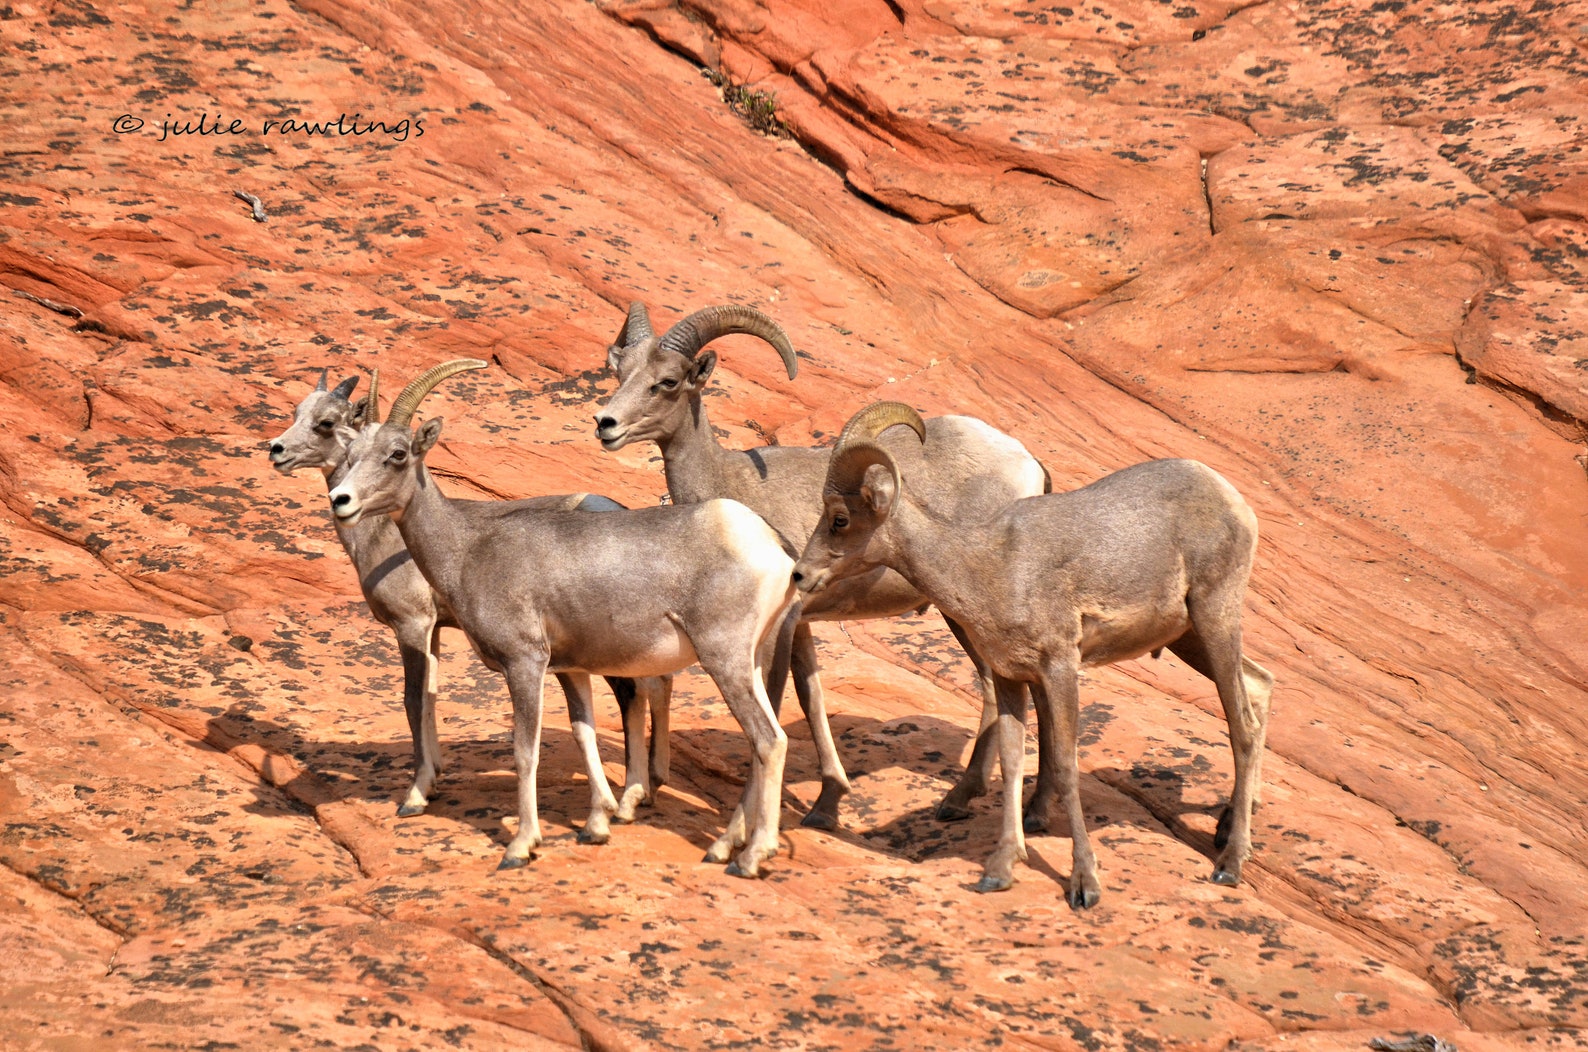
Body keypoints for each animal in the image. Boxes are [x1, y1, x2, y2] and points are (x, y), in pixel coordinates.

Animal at [268, 368, 670, 839]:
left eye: (326, 423)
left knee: (631, 692)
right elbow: (431, 697)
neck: (382, 536)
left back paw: (627, 802)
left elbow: (413, 699)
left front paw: (416, 797)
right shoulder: (436, 631)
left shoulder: (412, 626)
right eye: (297, 411)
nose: (276, 450)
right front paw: (434, 779)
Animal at [327, 359, 799, 874]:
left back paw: (750, 857)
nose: (341, 501)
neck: (468, 550)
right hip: (751, 663)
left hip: (725, 660)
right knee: (761, 741)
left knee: (768, 742)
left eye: (396, 454)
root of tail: (769, 545)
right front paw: (596, 827)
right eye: (350, 453)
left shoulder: (524, 664)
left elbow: (525, 752)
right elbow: (584, 734)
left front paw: (520, 847)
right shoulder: (571, 670)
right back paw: (722, 847)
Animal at [594, 302, 1051, 831]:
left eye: (667, 381)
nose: (605, 423)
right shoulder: (803, 625)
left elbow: (773, 701)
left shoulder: (781, 626)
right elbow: (811, 698)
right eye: (620, 371)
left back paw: (974, 801)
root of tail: (1030, 465)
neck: (731, 486)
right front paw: (827, 803)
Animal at [791, 402, 1275, 907]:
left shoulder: (1061, 669)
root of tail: (1232, 499)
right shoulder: (1010, 678)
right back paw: (1229, 828)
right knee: (1260, 685)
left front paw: (1084, 884)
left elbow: (1064, 765)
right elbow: (1011, 761)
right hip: (1190, 636)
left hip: (1215, 617)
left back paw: (1230, 862)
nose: (799, 574)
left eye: (840, 518)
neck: (992, 568)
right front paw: (999, 871)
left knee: (1243, 727)